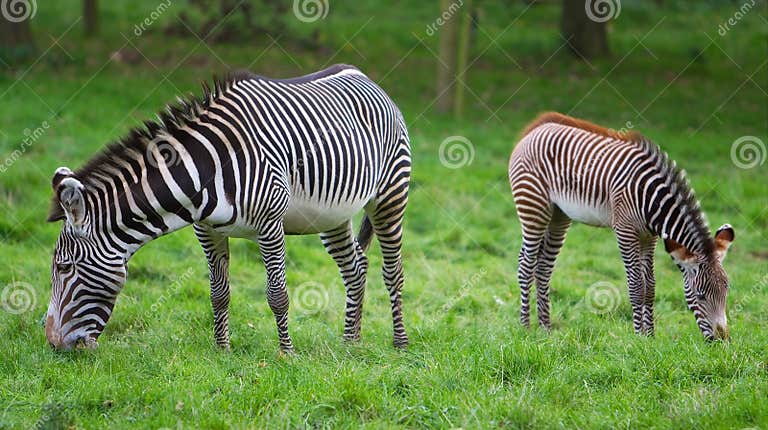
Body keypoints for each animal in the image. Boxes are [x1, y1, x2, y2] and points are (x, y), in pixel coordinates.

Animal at [45, 64, 411, 353]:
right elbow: (218, 292)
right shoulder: (206, 230)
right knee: (355, 269)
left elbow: (277, 293)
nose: (52, 343)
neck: (205, 171)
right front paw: (222, 350)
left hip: (391, 195)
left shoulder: (270, 224)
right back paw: (351, 342)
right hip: (332, 215)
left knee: (392, 272)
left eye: (63, 267)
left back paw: (400, 343)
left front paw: (286, 354)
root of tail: (364, 75)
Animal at [508, 112, 735, 340]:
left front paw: (650, 336)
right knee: (526, 264)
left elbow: (650, 286)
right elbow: (636, 286)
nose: (721, 340)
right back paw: (525, 326)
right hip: (533, 206)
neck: (652, 199)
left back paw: (545, 328)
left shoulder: (648, 236)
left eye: (727, 291)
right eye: (700, 296)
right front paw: (638, 336)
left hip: (558, 215)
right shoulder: (626, 231)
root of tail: (536, 128)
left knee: (543, 267)